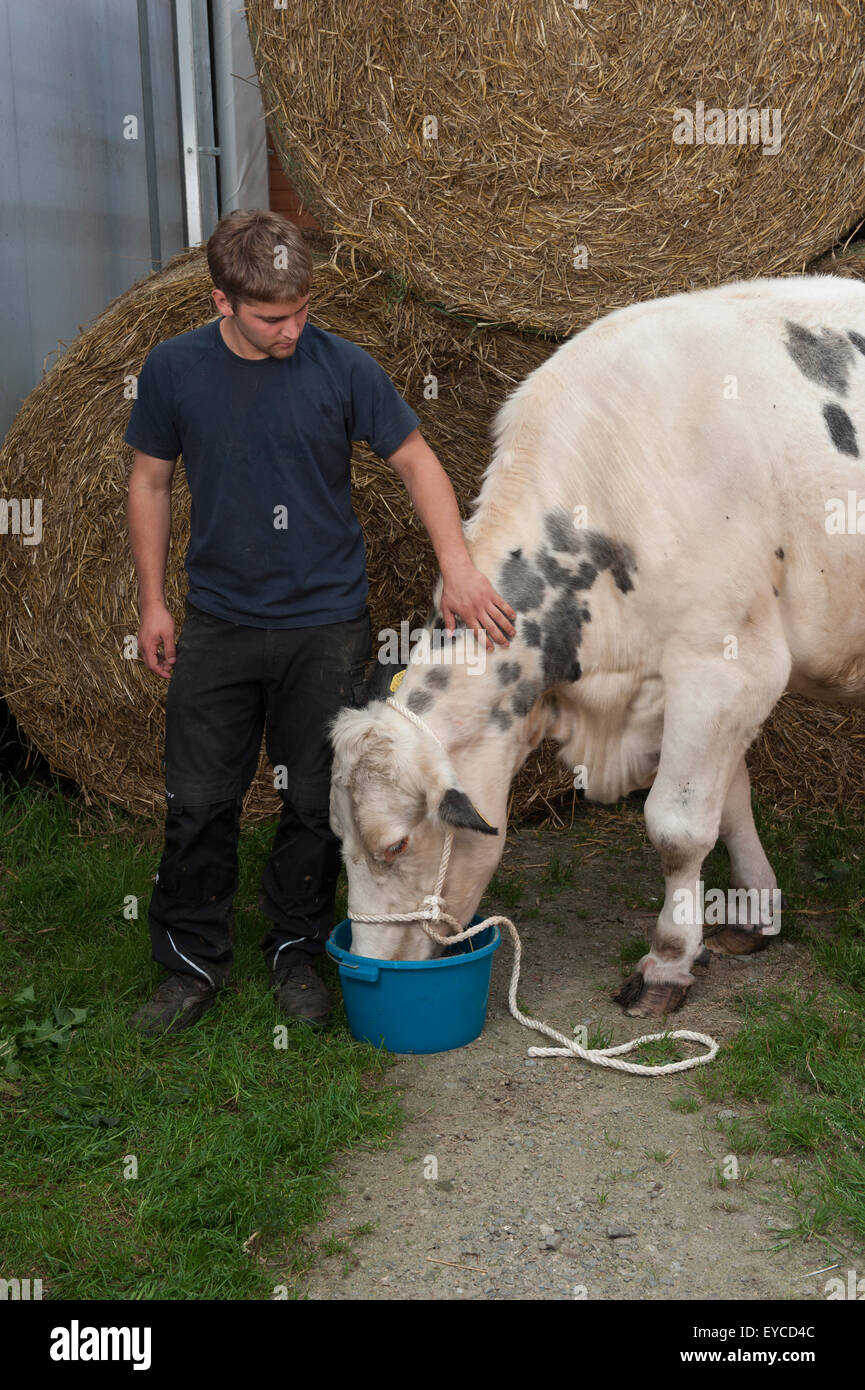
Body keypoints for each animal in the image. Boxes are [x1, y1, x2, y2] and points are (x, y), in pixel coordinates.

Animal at [329, 275, 865, 1018]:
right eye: (338, 840)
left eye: (394, 844)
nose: (363, 964)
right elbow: (730, 801)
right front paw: (753, 914)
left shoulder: (729, 667)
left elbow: (677, 826)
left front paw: (668, 962)